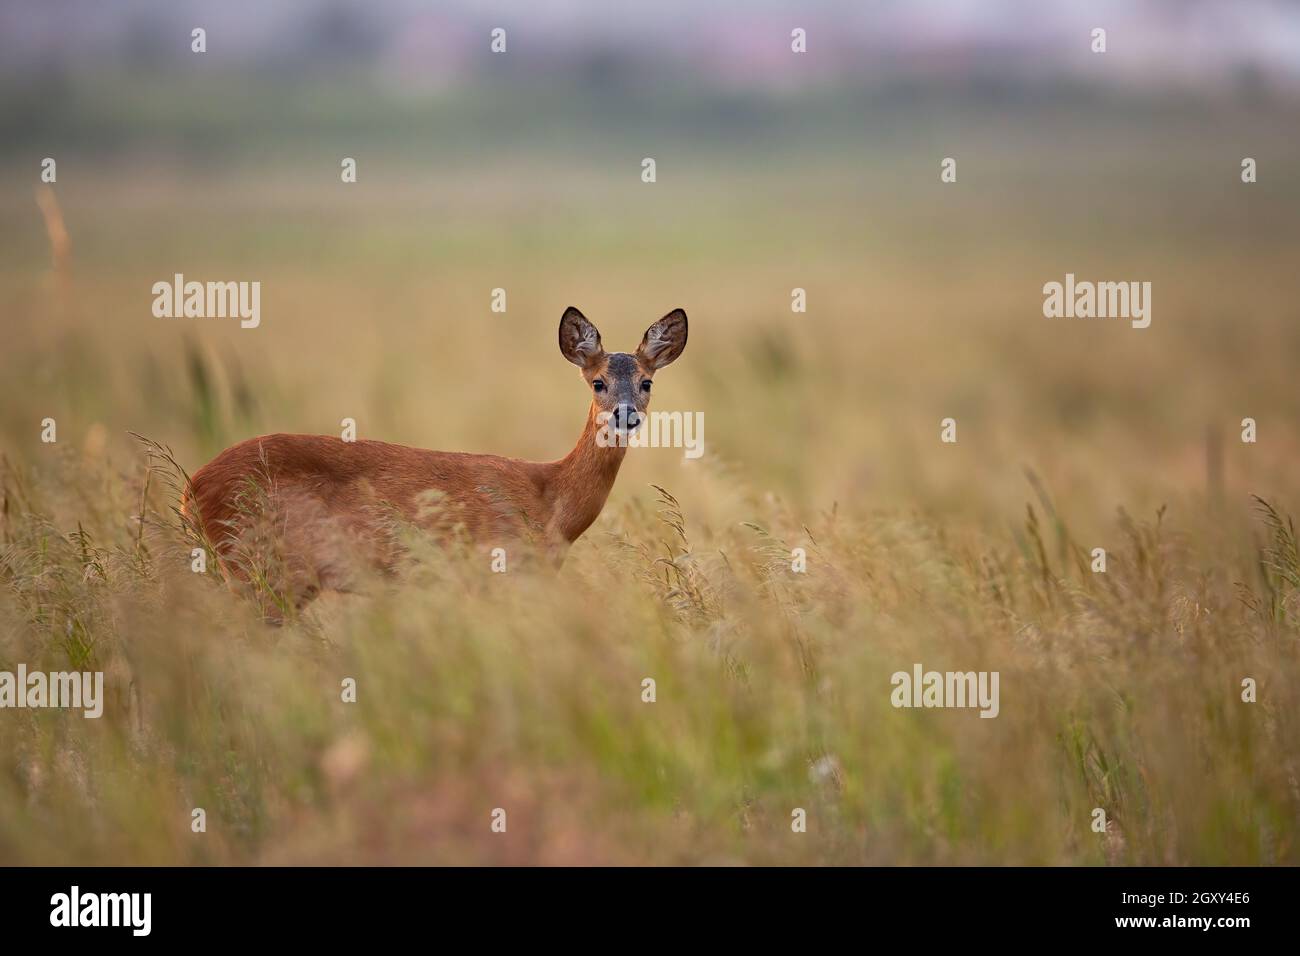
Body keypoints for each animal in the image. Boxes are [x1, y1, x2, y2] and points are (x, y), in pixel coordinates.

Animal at [182, 306, 688, 610]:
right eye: (598, 381)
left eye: (646, 382)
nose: (625, 414)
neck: (551, 500)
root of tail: (192, 488)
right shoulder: (495, 570)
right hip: (258, 570)